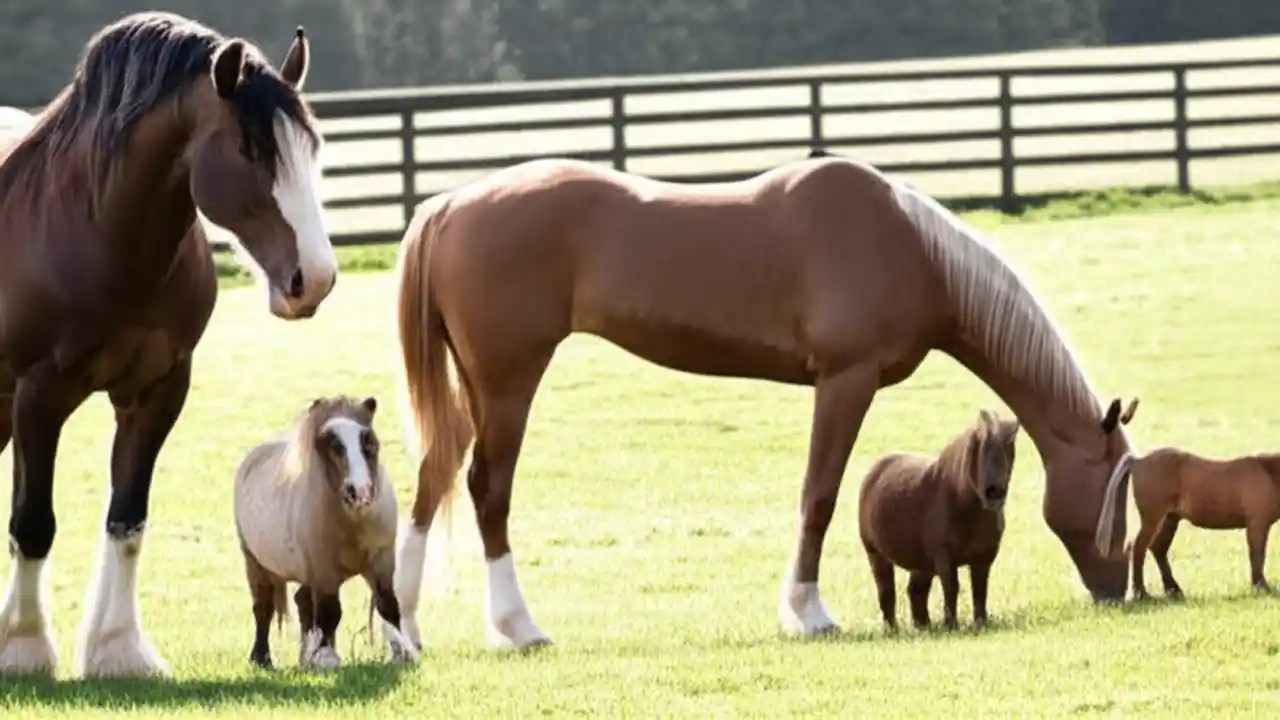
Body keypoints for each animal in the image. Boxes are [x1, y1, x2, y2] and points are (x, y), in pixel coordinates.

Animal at [0, 12, 336, 678]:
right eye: (251, 149)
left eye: (311, 148)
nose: (314, 279)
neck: (92, 232)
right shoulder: (38, 397)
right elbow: (32, 523)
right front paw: (24, 650)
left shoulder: (156, 392)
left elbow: (127, 519)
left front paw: (119, 649)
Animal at [234, 396, 417, 670]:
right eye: (331, 443)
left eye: (368, 440)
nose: (359, 492)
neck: (352, 522)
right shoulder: (323, 569)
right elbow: (330, 610)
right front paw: (327, 657)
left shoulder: (381, 561)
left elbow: (388, 604)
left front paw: (402, 653)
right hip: (255, 563)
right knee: (263, 608)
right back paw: (262, 658)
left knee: (302, 602)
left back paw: (304, 657)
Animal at [859, 409, 1019, 630]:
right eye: (981, 445)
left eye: (1009, 447)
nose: (994, 492)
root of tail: (874, 472)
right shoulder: (944, 558)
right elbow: (952, 587)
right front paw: (951, 625)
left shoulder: (984, 558)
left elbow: (980, 591)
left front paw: (980, 624)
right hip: (876, 554)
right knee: (886, 592)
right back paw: (893, 629)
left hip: (921, 564)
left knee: (915, 591)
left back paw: (924, 626)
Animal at [1094, 403, 1280, 600]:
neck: (1269, 472)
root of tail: (1138, 460)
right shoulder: (1257, 523)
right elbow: (1257, 554)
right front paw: (1262, 587)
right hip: (1153, 517)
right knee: (1138, 548)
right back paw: (1142, 593)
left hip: (1170, 519)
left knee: (1158, 549)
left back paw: (1173, 590)